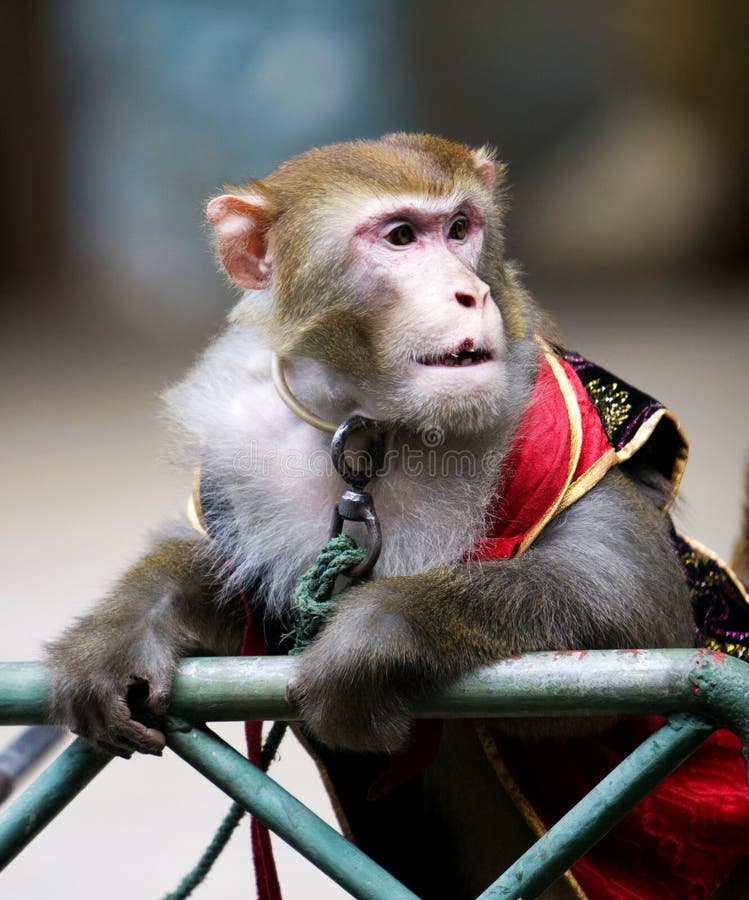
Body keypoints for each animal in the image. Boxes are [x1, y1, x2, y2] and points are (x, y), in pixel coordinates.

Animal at [44, 134, 749, 898]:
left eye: (461, 228)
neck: (372, 424)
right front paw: (126, 630)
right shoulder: (233, 460)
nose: (470, 292)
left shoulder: (568, 429)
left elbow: (627, 604)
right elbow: (241, 603)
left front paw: (378, 631)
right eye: (402, 237)